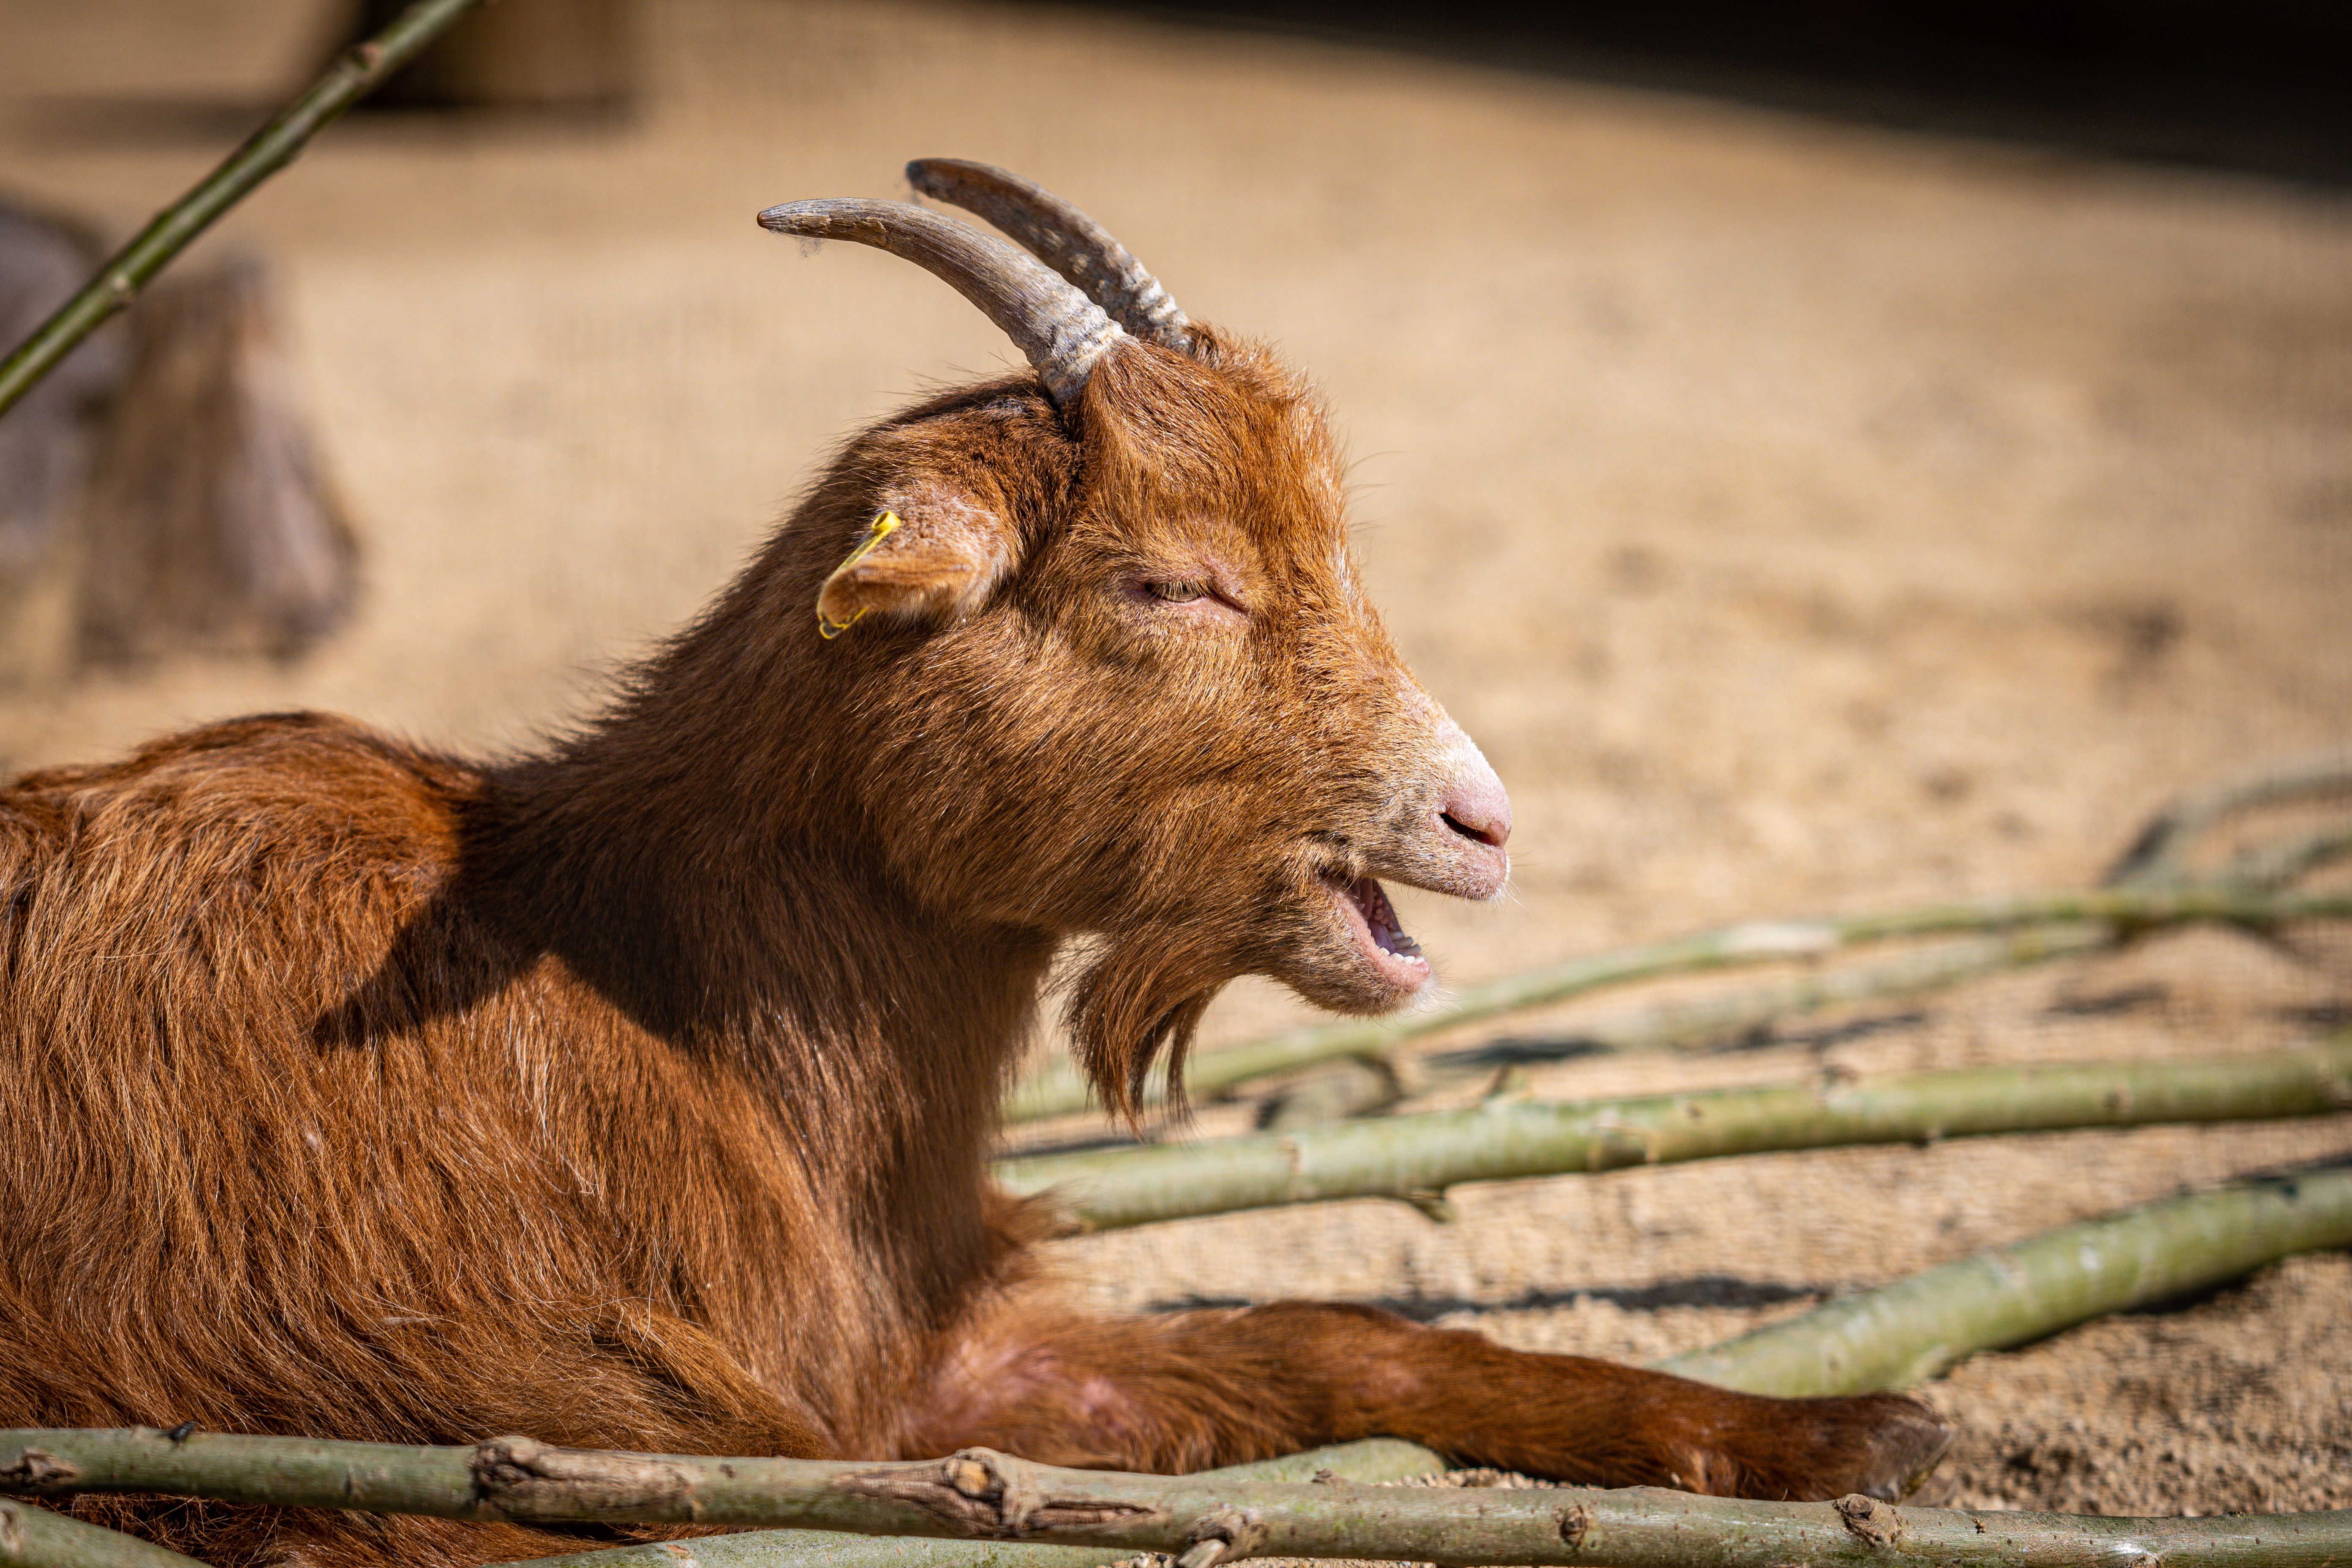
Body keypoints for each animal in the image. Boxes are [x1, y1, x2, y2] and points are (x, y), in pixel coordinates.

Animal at [0, 161, 1949, 1568]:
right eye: (1170, 580)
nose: (1480, 823)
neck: (656, 979)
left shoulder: (934, 1355)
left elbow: (1343, 1340)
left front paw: (1848, 1437)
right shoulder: (639, 1412)